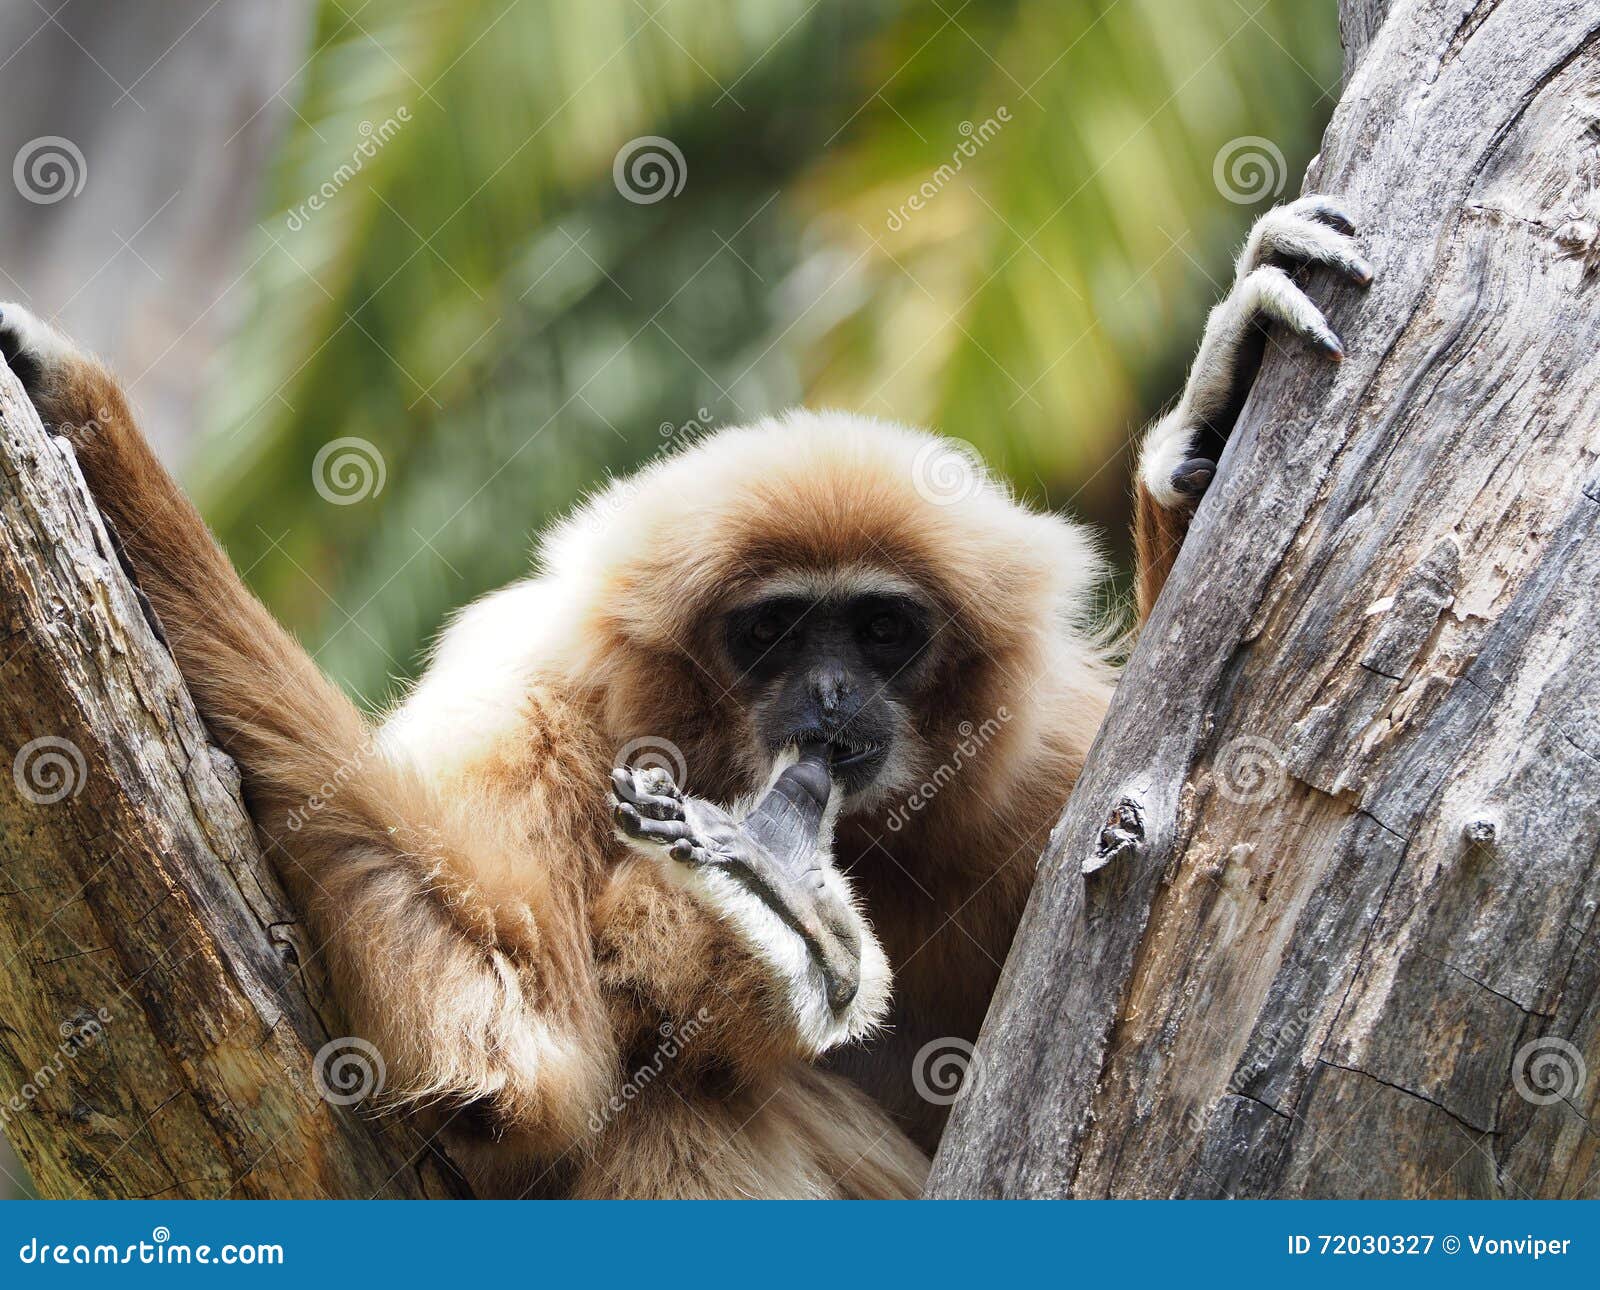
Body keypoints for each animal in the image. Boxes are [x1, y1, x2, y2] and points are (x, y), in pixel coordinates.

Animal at [0, 193, 1369, 1198]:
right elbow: (512, 1057)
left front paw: (1211, 423)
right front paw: (103, 441)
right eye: (774, 632)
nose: (830, 693)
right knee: (675, 1098)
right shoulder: (532, 709)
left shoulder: (1032, 769)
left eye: (881, 629)